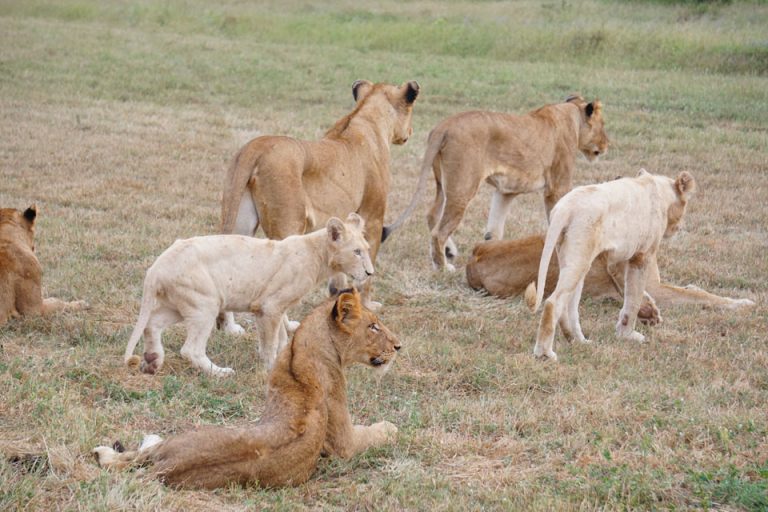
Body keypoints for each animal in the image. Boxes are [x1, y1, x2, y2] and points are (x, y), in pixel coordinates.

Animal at [94, 288, 401, 489]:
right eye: (374, 326)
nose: (398, 346)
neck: (305, 346)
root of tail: (170, 466)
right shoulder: (343, 444)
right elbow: (374, 433)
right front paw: (391, 427)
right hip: (183, 437)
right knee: (128, 456)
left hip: (175, 444)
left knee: (122, 460)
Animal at [124, 213, 374, 375]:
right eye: (356, 252)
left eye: (366, 250)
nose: (370, 272)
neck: (317, 253)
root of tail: (156, 268)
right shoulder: (270, 307)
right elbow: (271, 344)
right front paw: (271, 371)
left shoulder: (276, 309)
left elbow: (282, 339)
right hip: (205, 304)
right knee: (190, 349)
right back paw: (220, 373)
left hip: (180, 305)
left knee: (151, 324)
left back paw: (153, 362)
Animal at [218, 79, 420, 331]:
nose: (410, 133)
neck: (366, 119)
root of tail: (257, 146)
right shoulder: (373, 216)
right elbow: (368, 270)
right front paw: (368, 305)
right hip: (289, 225)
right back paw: (288, 327)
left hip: (242, 222)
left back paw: (231, 328)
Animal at [383, 95, 609, 271]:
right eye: (604, 125)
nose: (608, 144)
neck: (573, 115)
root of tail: (443, 126)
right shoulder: (558, 187)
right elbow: (557, 223)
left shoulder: (505, 191)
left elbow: (494, 231)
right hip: (463, 186)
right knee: (440, 230)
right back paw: (443, 267)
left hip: (444, 184)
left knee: (432, 215)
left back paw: (448, 252)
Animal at [528, 169, 696, 361]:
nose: (678, 227)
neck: (659, 192)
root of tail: (564, 208)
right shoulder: (641, 256)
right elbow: (634, 297)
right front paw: (628, 334)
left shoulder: (621, 259)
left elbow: (631, 293)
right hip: (579, 258)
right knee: (553, 302)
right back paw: (545, 353)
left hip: (575, 259)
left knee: (569, 307)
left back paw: (579, 341)